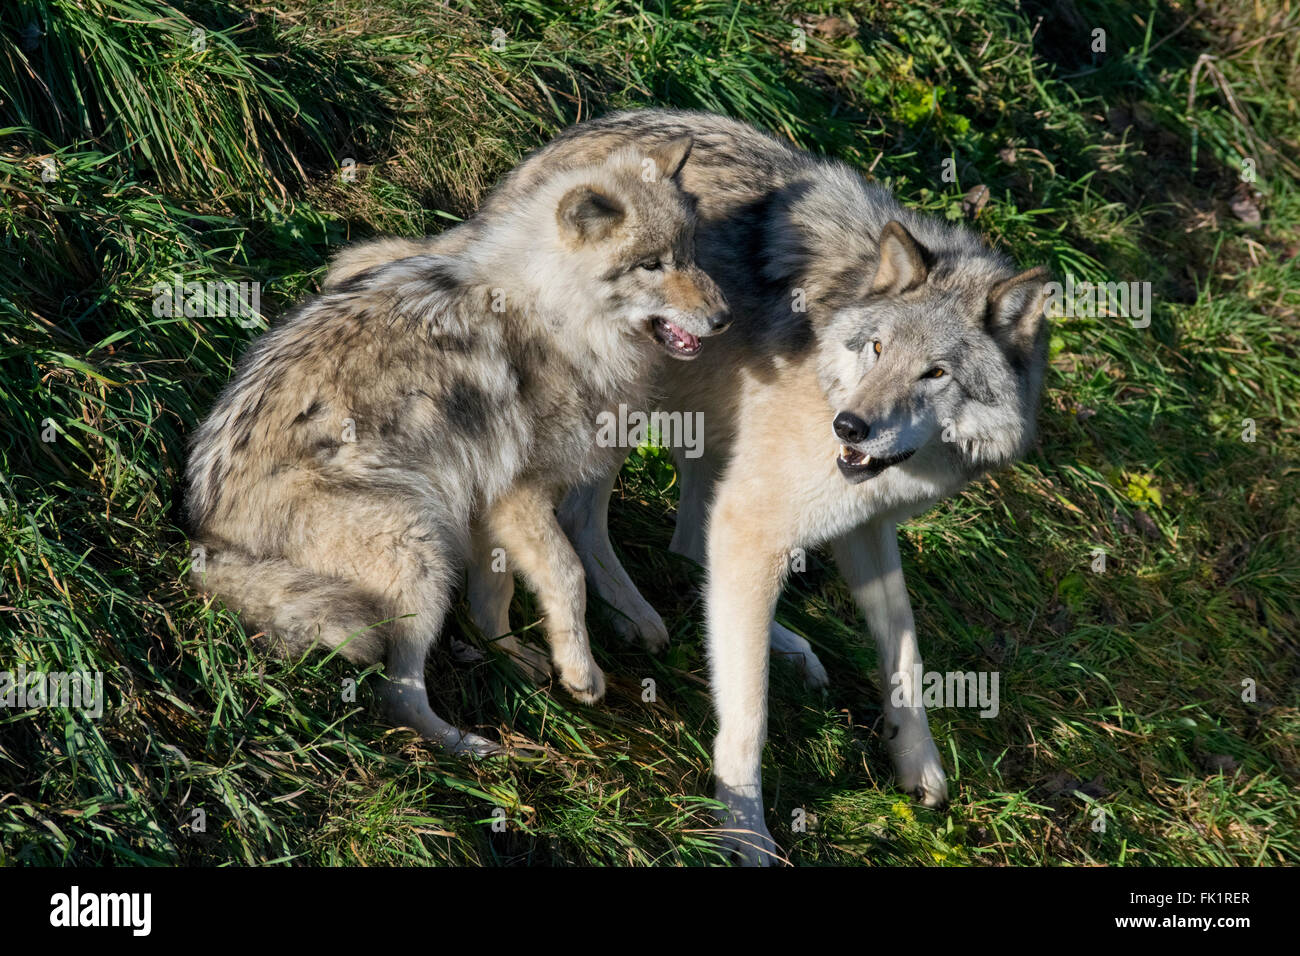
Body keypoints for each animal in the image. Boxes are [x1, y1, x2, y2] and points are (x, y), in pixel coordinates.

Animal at [186, 136, 729, 755]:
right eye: (652, 265)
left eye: (690, 253)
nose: (724, 318)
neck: (556, 317)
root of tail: (208, 538)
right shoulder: (518, 494)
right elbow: (567, 574)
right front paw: (581, 674)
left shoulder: (485, 500)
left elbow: (494, 593)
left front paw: (507, 651)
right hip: (419, 547)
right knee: (397, 695)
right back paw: (471, 746)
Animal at [325, 109, 1049, 863]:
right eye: (876, 350)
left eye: (935, 373)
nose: (849, 426)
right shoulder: (761, 515)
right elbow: (748, 714)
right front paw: (744, 829)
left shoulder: (866, 523)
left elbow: (903, 649)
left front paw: (919, 763)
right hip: (627, 403)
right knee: (595, 521)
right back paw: (640, 619)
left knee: (687, 544)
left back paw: (765, 638)